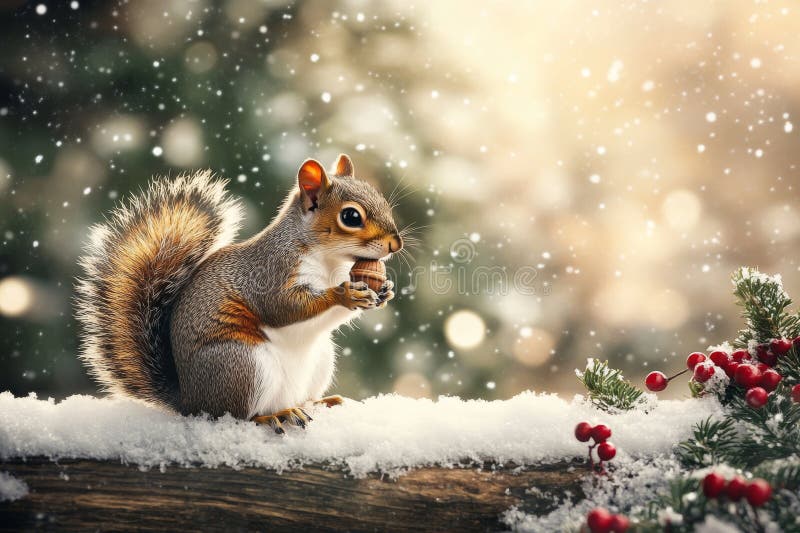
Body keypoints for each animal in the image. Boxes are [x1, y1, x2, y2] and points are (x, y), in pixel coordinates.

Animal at [76, 154, 402, 433]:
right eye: (351, 216)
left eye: (381, 199)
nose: (396, 244)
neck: (330, 260)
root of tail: (190, 402)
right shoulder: (271, 273)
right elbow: (283, 308)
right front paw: (344, 295)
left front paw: (383, 291)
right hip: (241, 364)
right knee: (238, 416)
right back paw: (274, 416)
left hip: (319, 360)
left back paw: (320, 402)